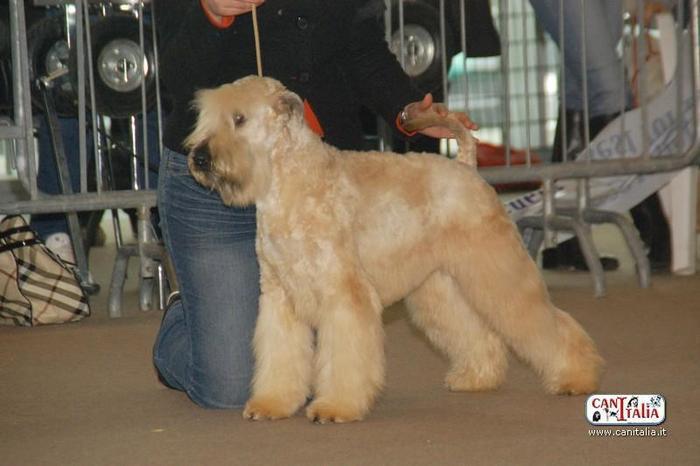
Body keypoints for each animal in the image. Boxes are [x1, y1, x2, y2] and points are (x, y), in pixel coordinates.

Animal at [186, 75, 600, 422]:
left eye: (239, 118)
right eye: (208, 118)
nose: (199, 157)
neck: (289, 182)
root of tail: (467, 167)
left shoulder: (344, 294)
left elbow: (345, 357)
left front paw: (336, 407)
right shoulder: (279, 296)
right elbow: (281, 357)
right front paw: (272, 403)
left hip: (496, 269)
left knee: (545, 322)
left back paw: (576, 377)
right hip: (439, 286)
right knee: (474, 331)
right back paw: (477, 376)